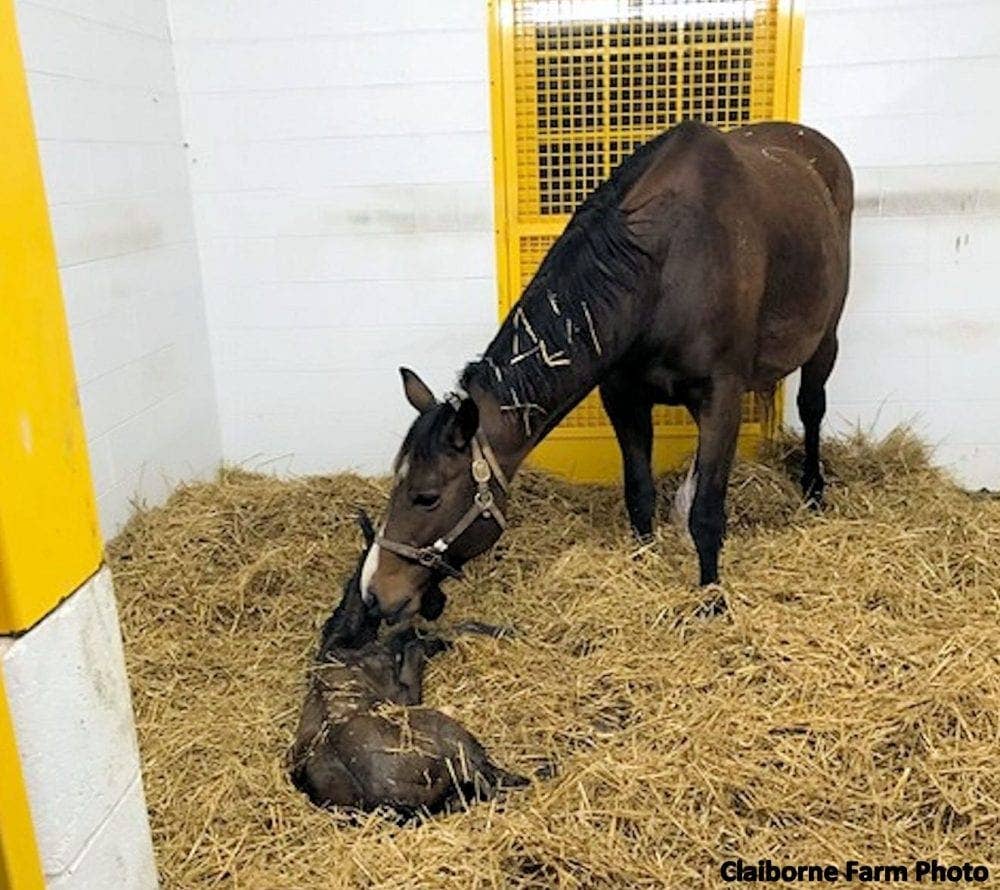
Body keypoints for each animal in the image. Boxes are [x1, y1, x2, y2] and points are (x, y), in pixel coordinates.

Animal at [359, 120, 853, 624]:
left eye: (427, 496)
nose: (374, 593)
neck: (665, 269)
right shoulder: (623, 396)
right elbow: (639, 492)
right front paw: (643, 562)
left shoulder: (721, 398)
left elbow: (707, 511)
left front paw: (712, 597)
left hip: (825, 340)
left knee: (811, 408)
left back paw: (813, 490)